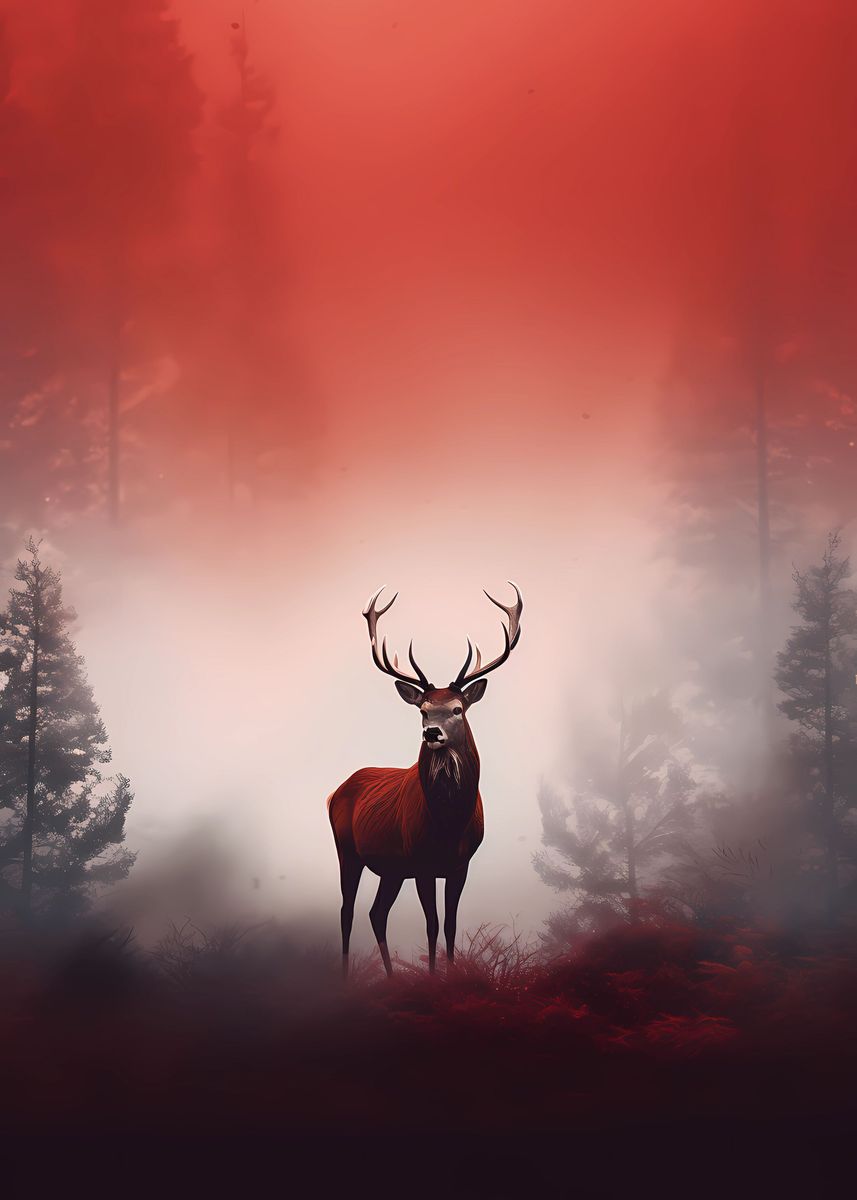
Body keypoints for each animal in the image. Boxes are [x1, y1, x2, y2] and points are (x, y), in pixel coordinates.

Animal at [327, 582, 523, 977]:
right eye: (422, 710)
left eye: (458, 709)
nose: (431, 732)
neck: (448, 824)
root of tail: (334, 792)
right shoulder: (421, 861)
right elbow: (431, 924)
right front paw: (432, 978)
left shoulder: (460, 865)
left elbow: (449, 924)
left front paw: (450, 975)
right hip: (347, 850)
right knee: (347, 911)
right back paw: (345, 977)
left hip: (391, 868)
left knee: (376, 913)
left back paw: (390, 977)